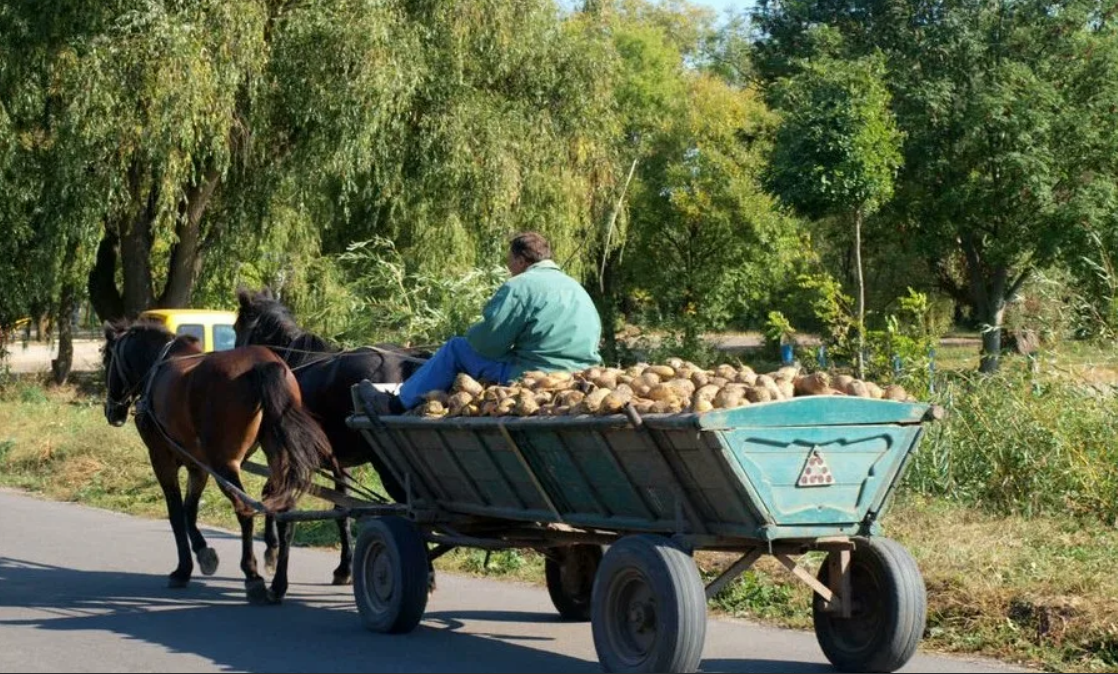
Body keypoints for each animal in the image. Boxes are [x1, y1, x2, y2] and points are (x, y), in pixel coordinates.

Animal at [102, 319, 330, 603]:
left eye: (106, 358)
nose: (111, 411)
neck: (159, 365)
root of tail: (262, 364)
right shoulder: (198, 466)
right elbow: (190, 511)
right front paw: (204, 554)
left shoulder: (162, 459)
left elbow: (176, 513)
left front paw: (183, 569)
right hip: (277, 458)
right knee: (284, 512)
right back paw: (278, 585)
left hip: (225, 464)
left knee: (244, 510)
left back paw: (252, 576)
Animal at [233, 288, 429, 585]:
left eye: (236, 326)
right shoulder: (340, 464)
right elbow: (341, 511)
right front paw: (344, 568)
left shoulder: (288, 456)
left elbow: (273, 494)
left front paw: (272, 548)